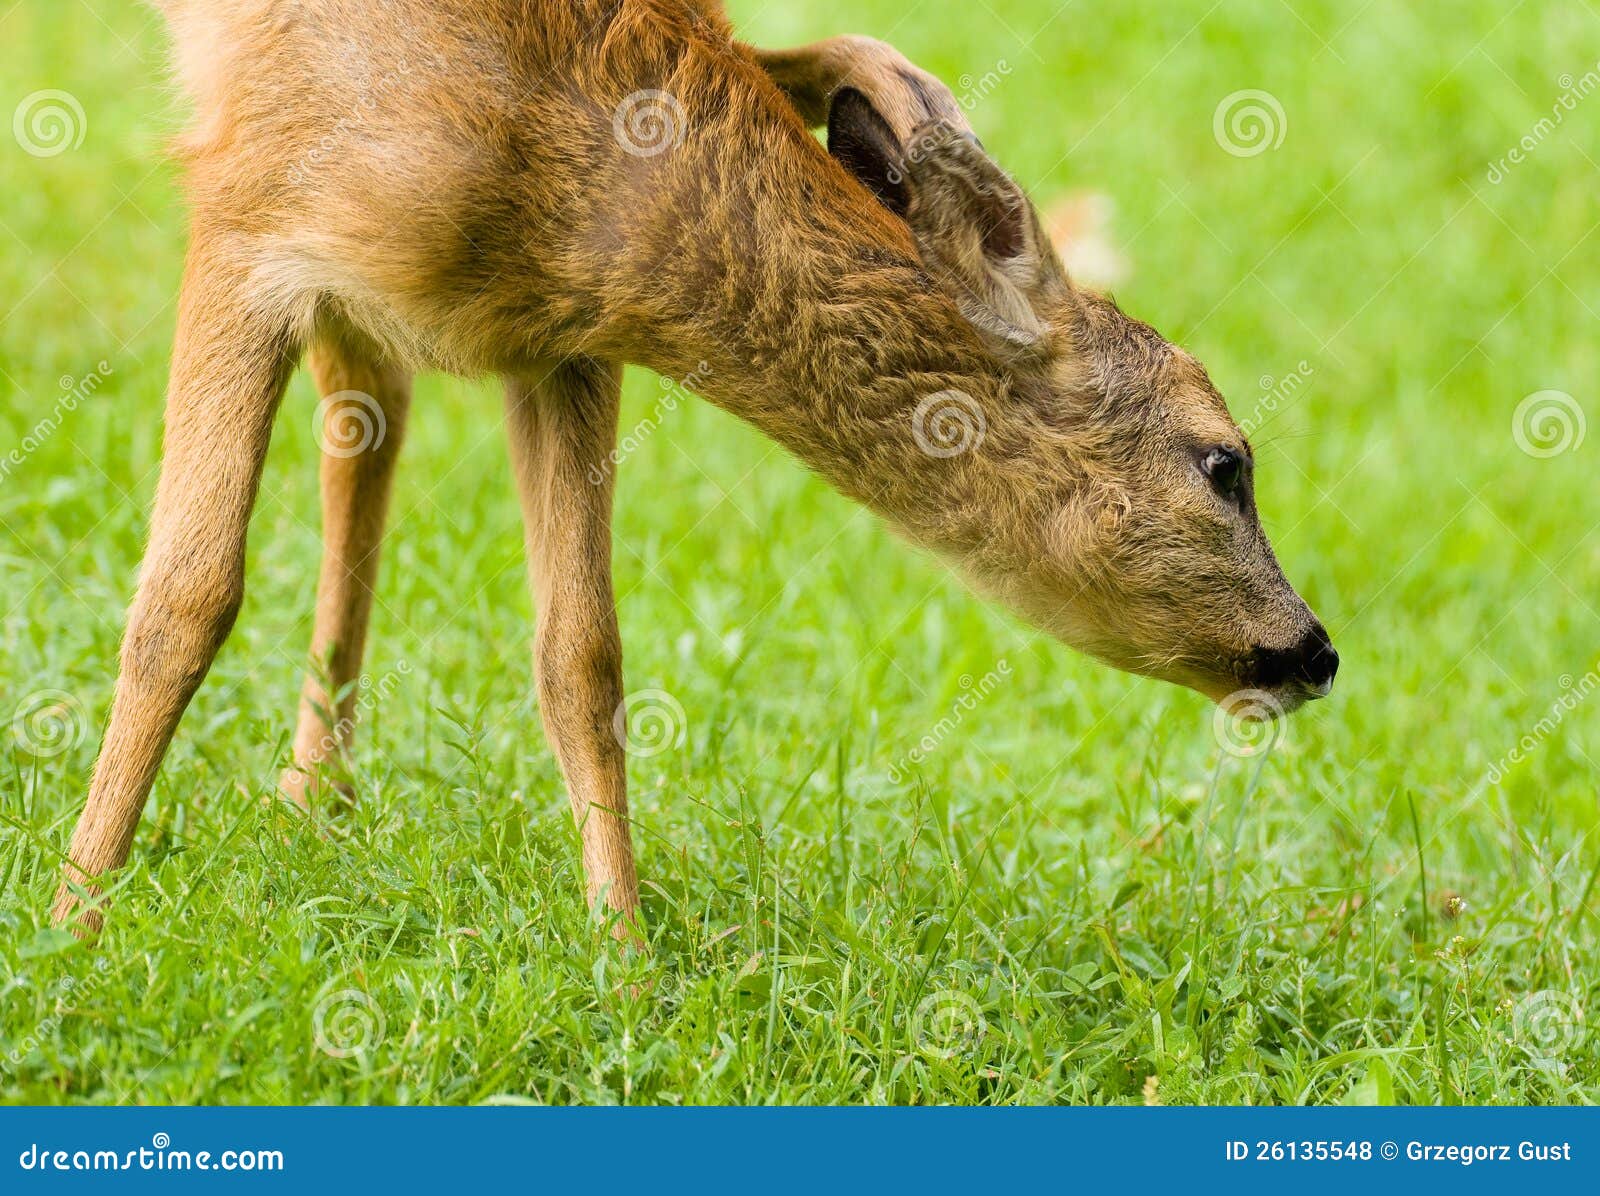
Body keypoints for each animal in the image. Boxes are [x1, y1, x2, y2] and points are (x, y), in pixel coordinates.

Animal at [51, 0, 1337, 940]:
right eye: (1224, 461)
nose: (1314, 647)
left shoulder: (556, 343)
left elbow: (581, 653)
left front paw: (622, 951)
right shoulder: (248, 207)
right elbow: (188, 595)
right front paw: (77, 915)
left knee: (366, 414)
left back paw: (313, 799)